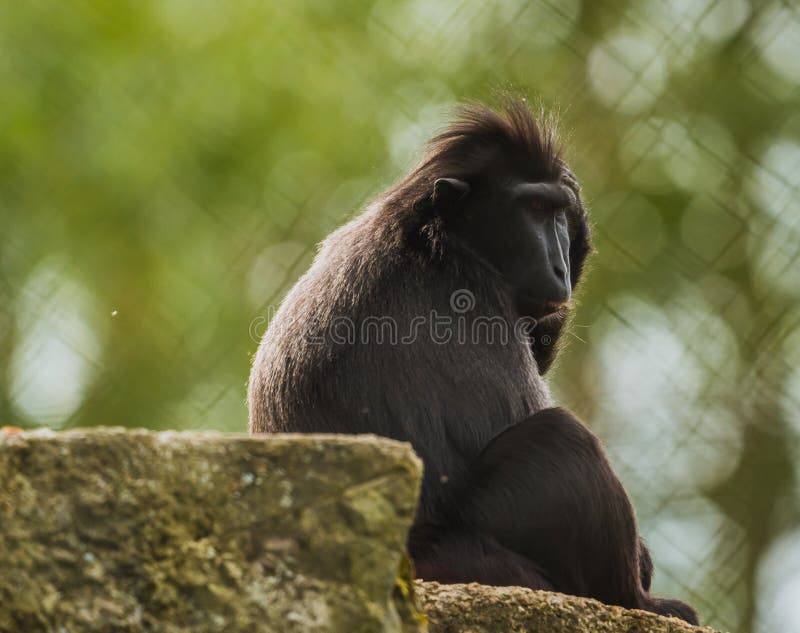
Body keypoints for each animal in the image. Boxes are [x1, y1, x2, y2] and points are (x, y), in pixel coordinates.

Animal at [248, 98, 699, 624]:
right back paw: (637, 601)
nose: (560, 267)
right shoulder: (476, 294)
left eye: (560, 214)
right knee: (560, 439)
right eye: (534, 210)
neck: (428, 235)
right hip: (473, 558)